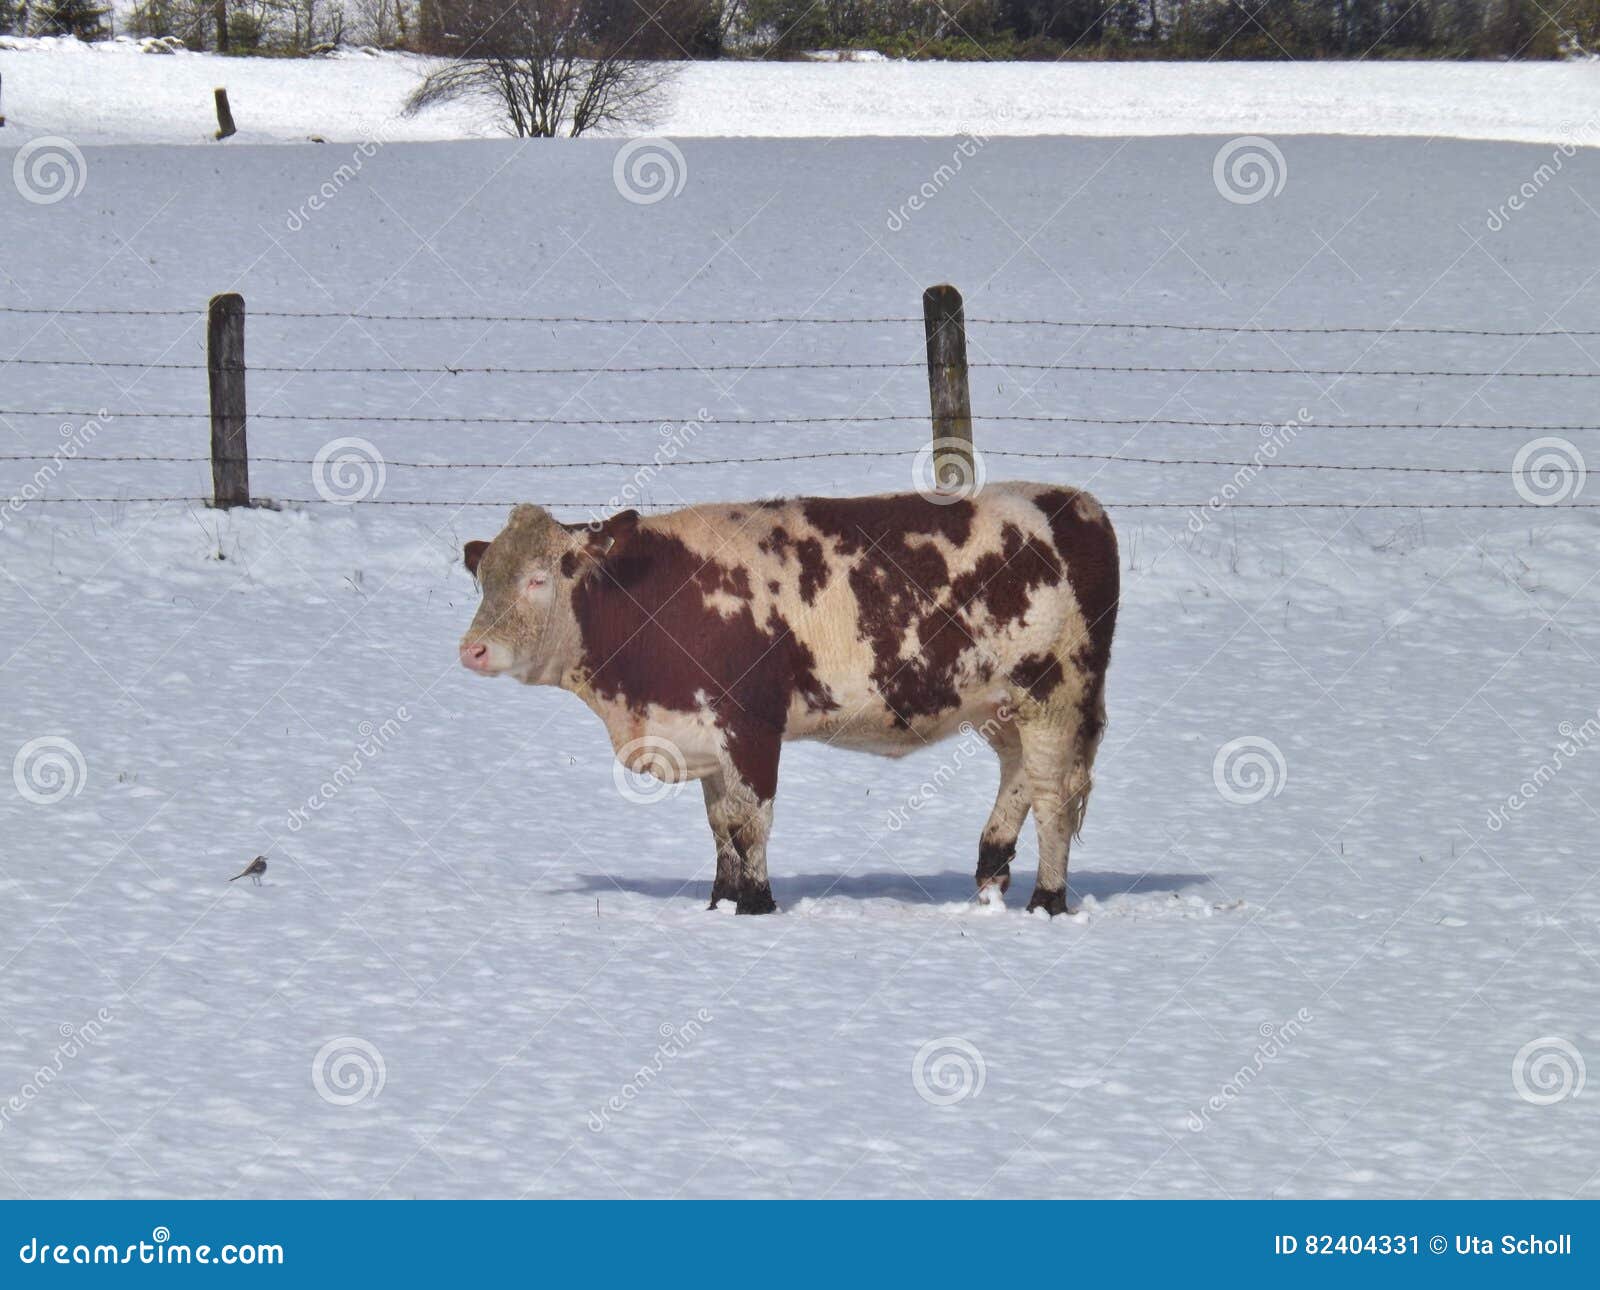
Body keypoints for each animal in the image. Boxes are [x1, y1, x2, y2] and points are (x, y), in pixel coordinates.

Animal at [457, 483, 1118, 916]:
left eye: (538, 578)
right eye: (484, 578)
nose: (473, 650)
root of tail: (1071, 502)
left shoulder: (750, 726)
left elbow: (751, 823)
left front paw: (756, 903)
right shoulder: (701, 735)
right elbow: (720, 824)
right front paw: (721, 901)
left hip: (1053, 694)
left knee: (1054, 797)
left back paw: (1047, 900)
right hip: (1002, 706)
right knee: (1019, 777)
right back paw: (988, 875)